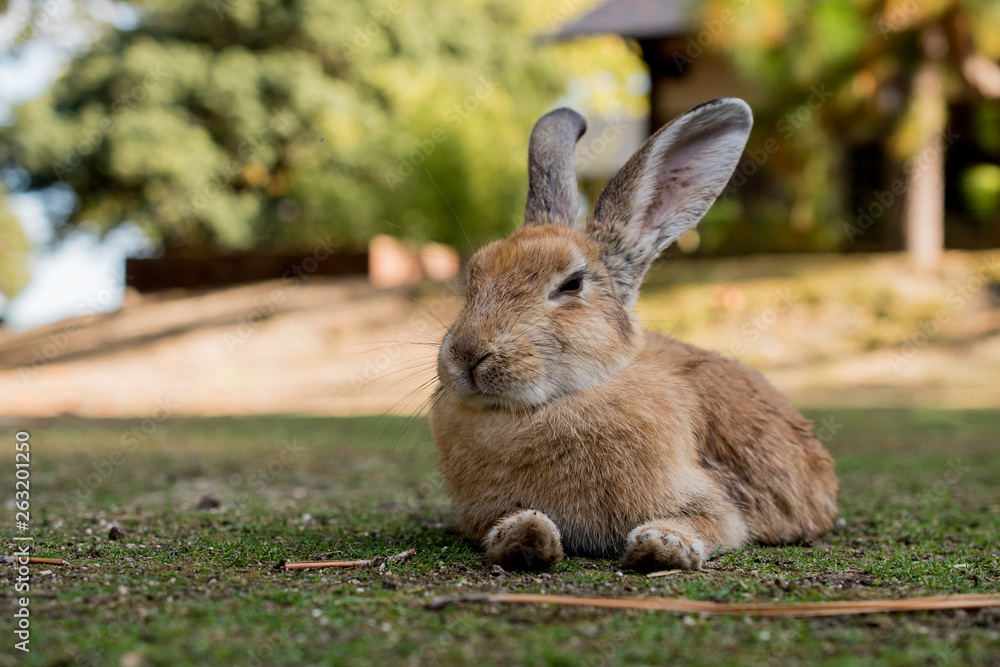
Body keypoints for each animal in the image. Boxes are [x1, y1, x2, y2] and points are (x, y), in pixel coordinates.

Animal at [429, 98, 838, 572]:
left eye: (572, 284)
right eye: (474, 276)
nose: (467, 354)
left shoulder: (717, 502)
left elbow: (710, 524)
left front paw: (662, 544)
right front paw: (524, 534)